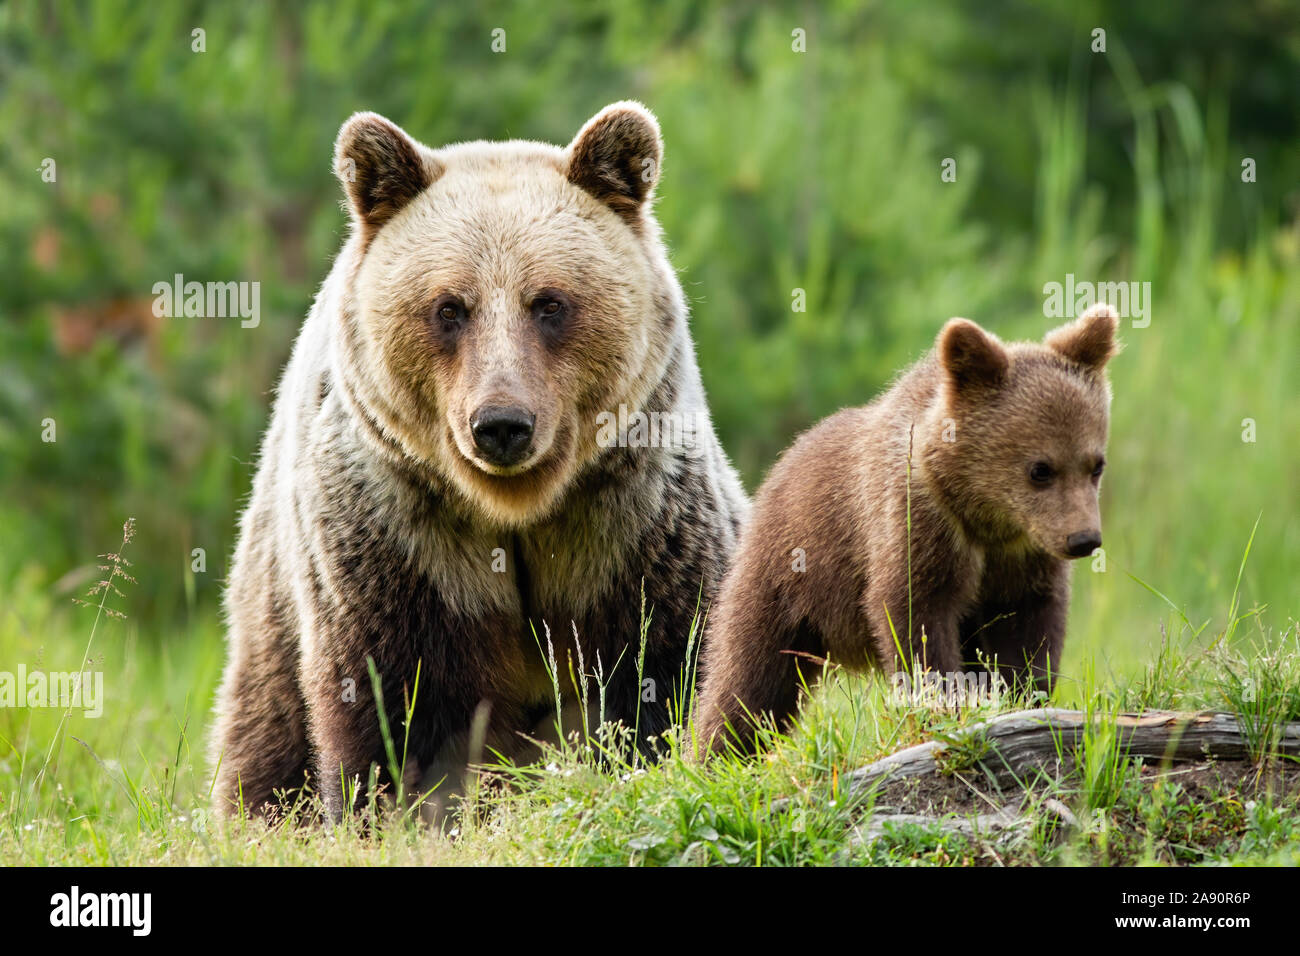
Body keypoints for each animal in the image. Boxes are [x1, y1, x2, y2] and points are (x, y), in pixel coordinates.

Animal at [209, 102, 749, 821]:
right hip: (272, 611)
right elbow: (394, 702)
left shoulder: (630, 523)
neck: (515, 509)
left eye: (549, 302)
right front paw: (392, 810)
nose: (501, 426)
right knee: (264, 746)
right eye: (449, 307)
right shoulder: (398, 537)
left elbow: (665, 667)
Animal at [695, 305, 1119, 755]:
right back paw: (717, 751)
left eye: (1095, 465)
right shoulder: (917, 522)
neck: (984, 516)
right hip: (788, 575)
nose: (1084, 539)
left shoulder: (1021, 555)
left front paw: (1022, 696)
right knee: (750, 675)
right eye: (1040, 469)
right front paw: (945, 704)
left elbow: (1026, 624)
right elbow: (915, 613)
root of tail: (775, 471)